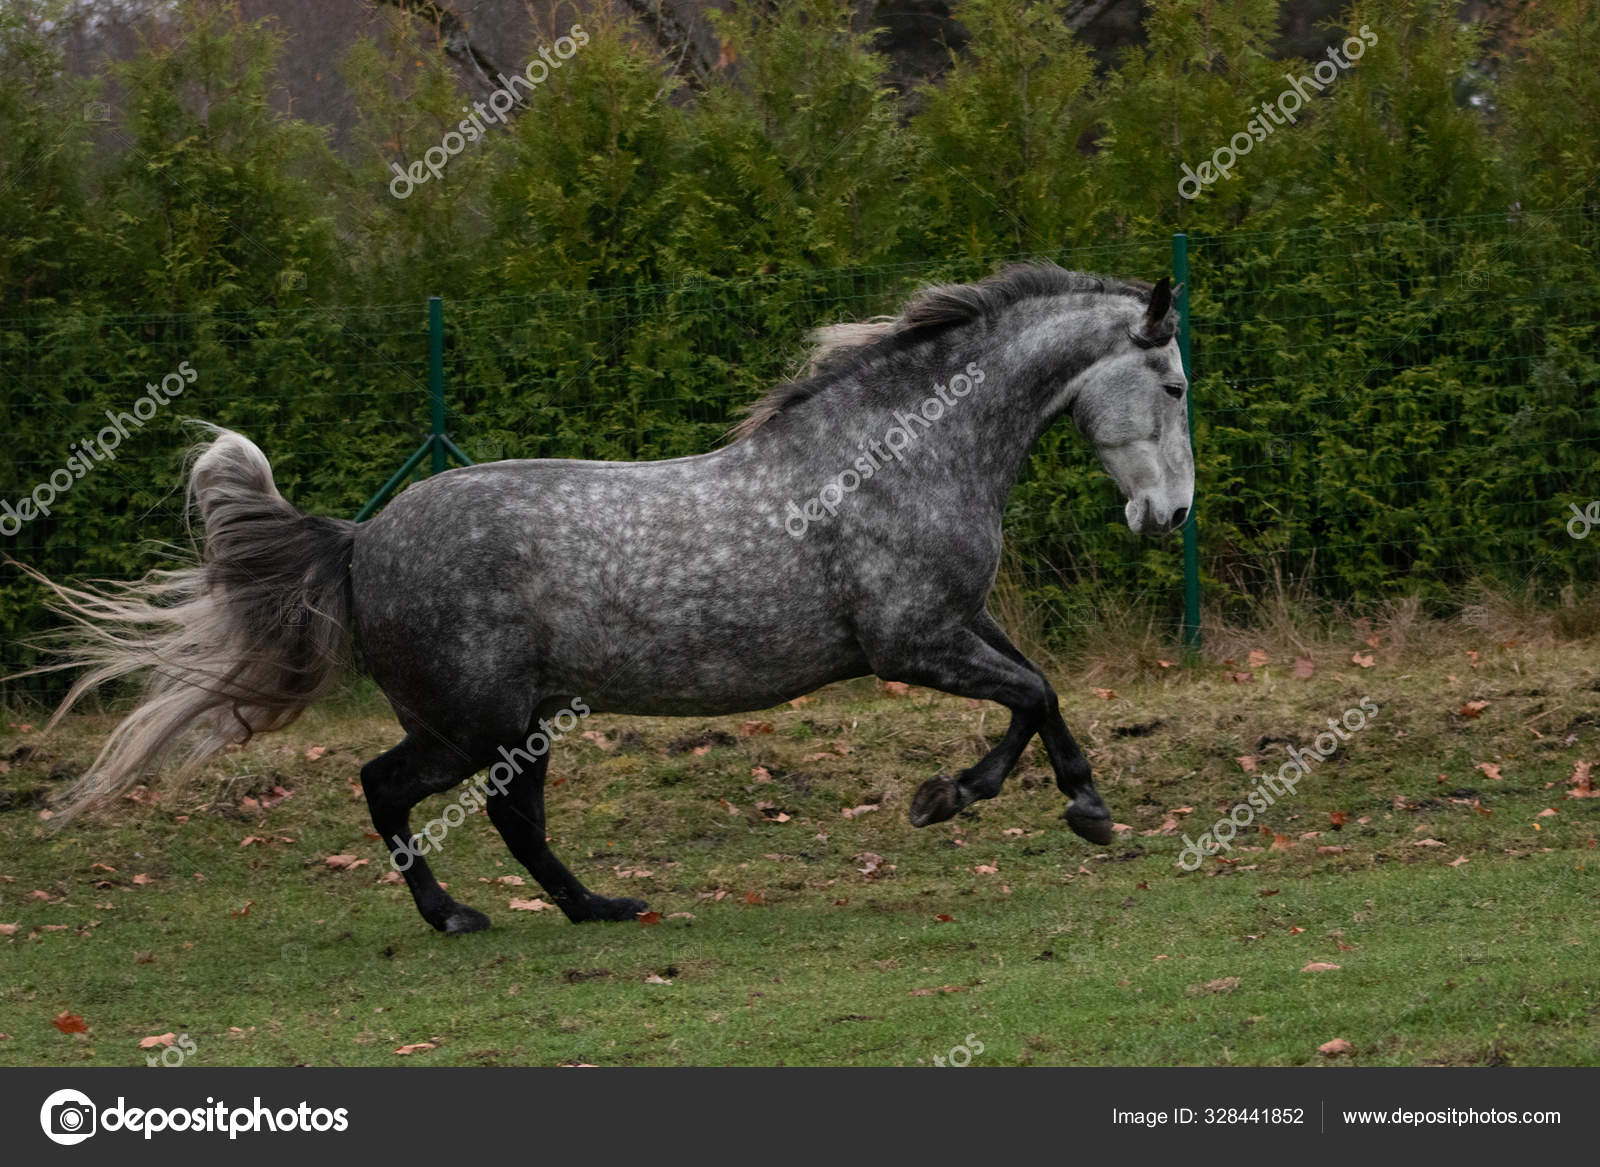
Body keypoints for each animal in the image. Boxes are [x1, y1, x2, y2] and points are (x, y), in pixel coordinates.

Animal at [26, 263, 1193, 935]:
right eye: (1175, 384)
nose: (1170, 515)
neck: (895, 455)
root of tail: (361, 542)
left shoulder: (954, 624)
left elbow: (1034, 692)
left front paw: (1004, 796)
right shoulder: (912, 642)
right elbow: (1033, 694)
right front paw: (1024, 803)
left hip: (522, 725)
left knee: (512, 817)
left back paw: (597, 907)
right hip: (470, 721)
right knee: (387, 788)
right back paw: (455, 917)